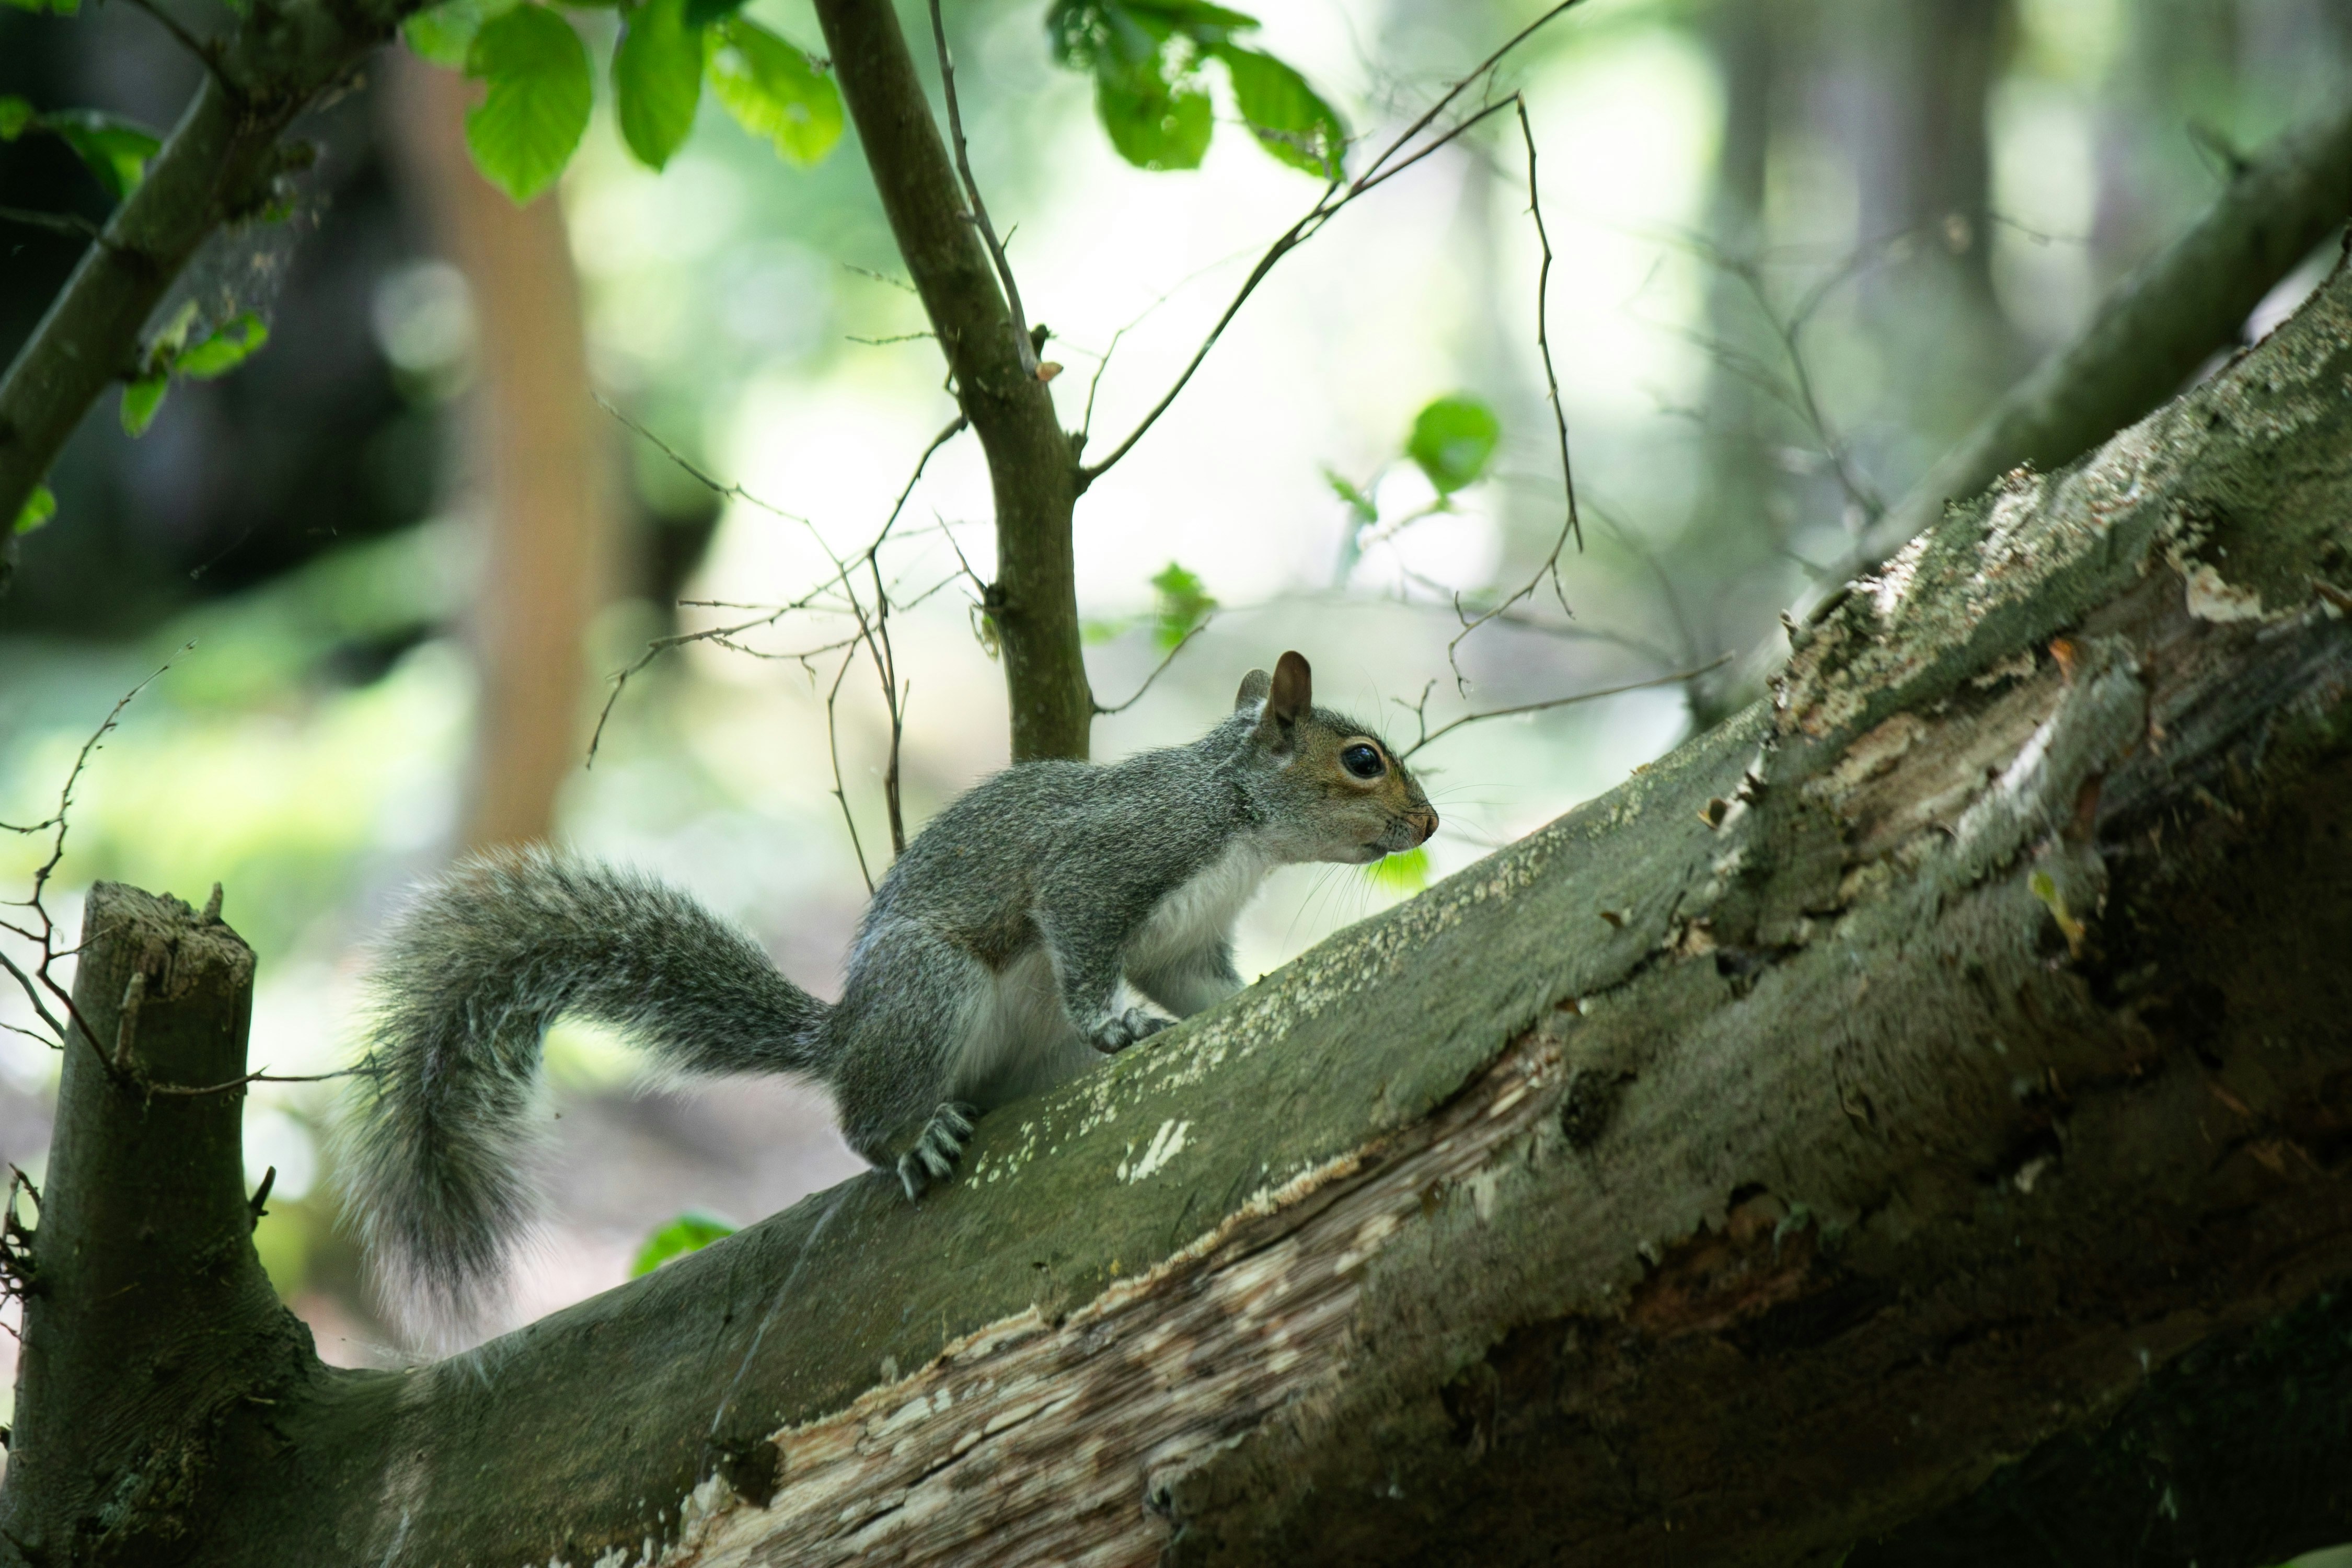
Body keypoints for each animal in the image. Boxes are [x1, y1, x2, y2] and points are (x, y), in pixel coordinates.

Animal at [337, 651, 1437, 1313]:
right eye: (1363, 760)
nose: (1427, 823)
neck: (1238, 819)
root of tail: (842, 1039)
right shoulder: (1102, 868)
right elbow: (1082, 953)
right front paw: (1114, 1028)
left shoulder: (1181, 945)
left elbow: (1199, 987)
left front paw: (1253, 1001)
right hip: (930, 989)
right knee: (861, 1124)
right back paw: (914, 1136)